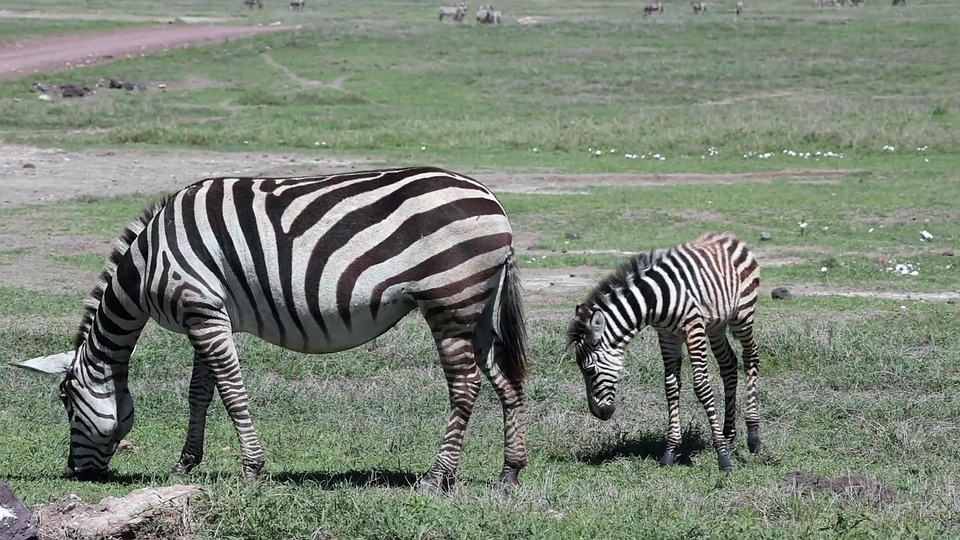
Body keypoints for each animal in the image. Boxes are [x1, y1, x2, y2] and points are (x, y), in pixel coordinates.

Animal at [13, 167, 529, 494]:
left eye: (66, 400)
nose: (75, 473)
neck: (145, 267)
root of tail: (493, 201)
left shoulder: (200, 308)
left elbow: (231, 390)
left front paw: (252, 470)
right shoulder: (208, 312)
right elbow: (201, 392)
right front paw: (186, 462)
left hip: (449, 301)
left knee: (465, 387)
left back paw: (437, 478)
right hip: (478, 310)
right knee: (506, 380)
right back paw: (509, 473)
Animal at [566, 232, 761, 472]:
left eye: (590, 370)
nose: (598, 414)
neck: (654, 301)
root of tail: (727, 236)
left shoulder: (693, 329)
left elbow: (702, 387)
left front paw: (722, 456)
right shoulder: (667, 335)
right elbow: (671, 386)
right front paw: (670, 452)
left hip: (742, 315)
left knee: (750, 357)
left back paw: (753, 436)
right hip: (716, 325)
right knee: (729, 365)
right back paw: (729, 434)